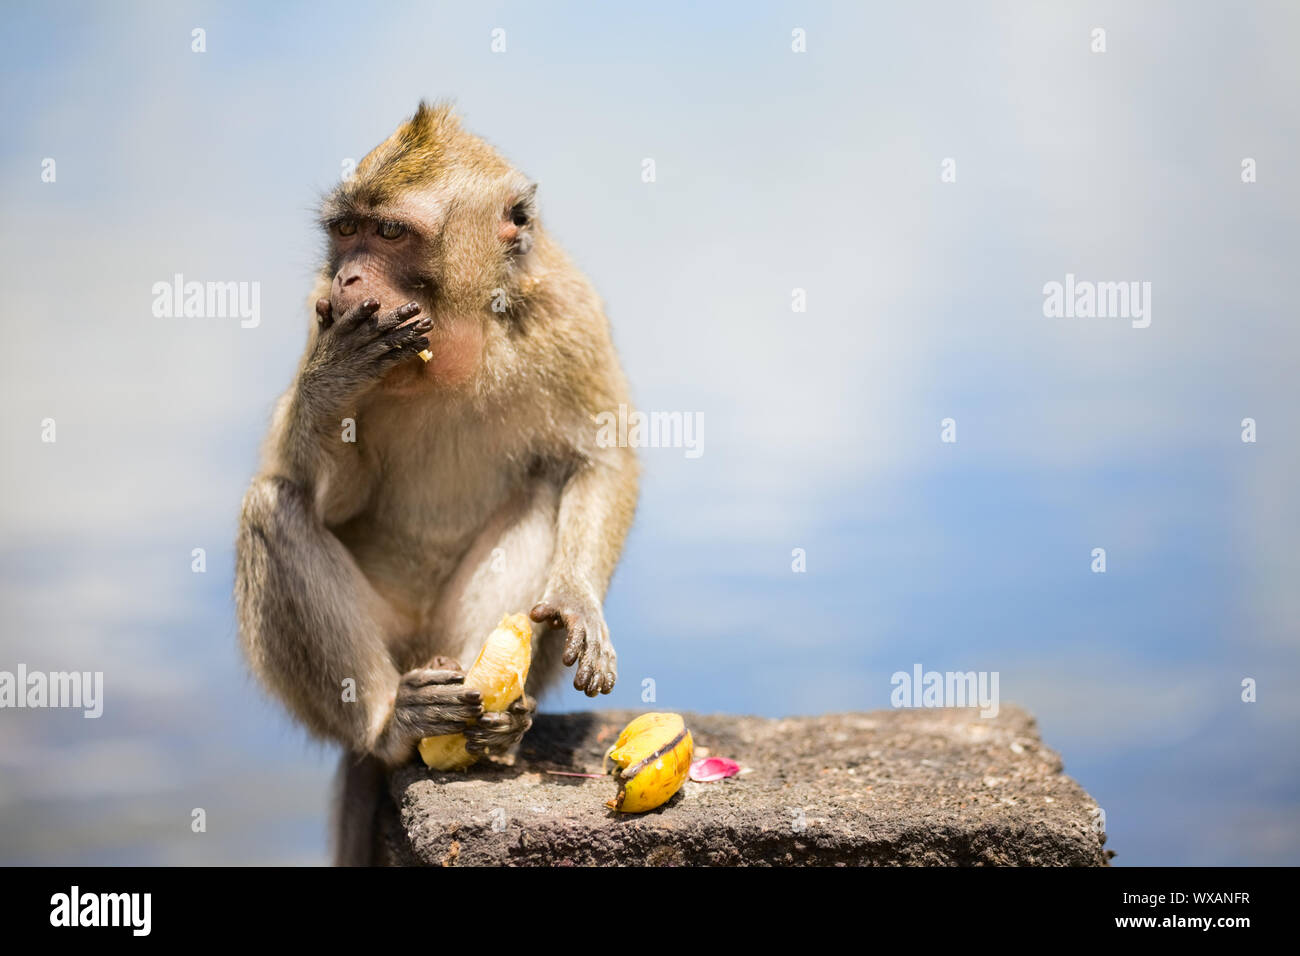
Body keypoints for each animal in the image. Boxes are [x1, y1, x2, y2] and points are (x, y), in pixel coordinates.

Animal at [234, 102, 639, 865]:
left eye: (391, 233)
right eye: (346, 232)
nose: (349, 280)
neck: (456, 334)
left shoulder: (569, 311)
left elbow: (597, 461)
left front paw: (578, 603)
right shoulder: (319, 316)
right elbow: (317, 492)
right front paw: (331, 379)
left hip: (453, 638)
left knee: (546, 490)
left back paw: (495, 728)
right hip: (388, 645)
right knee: (273, 508)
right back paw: (394, 726)